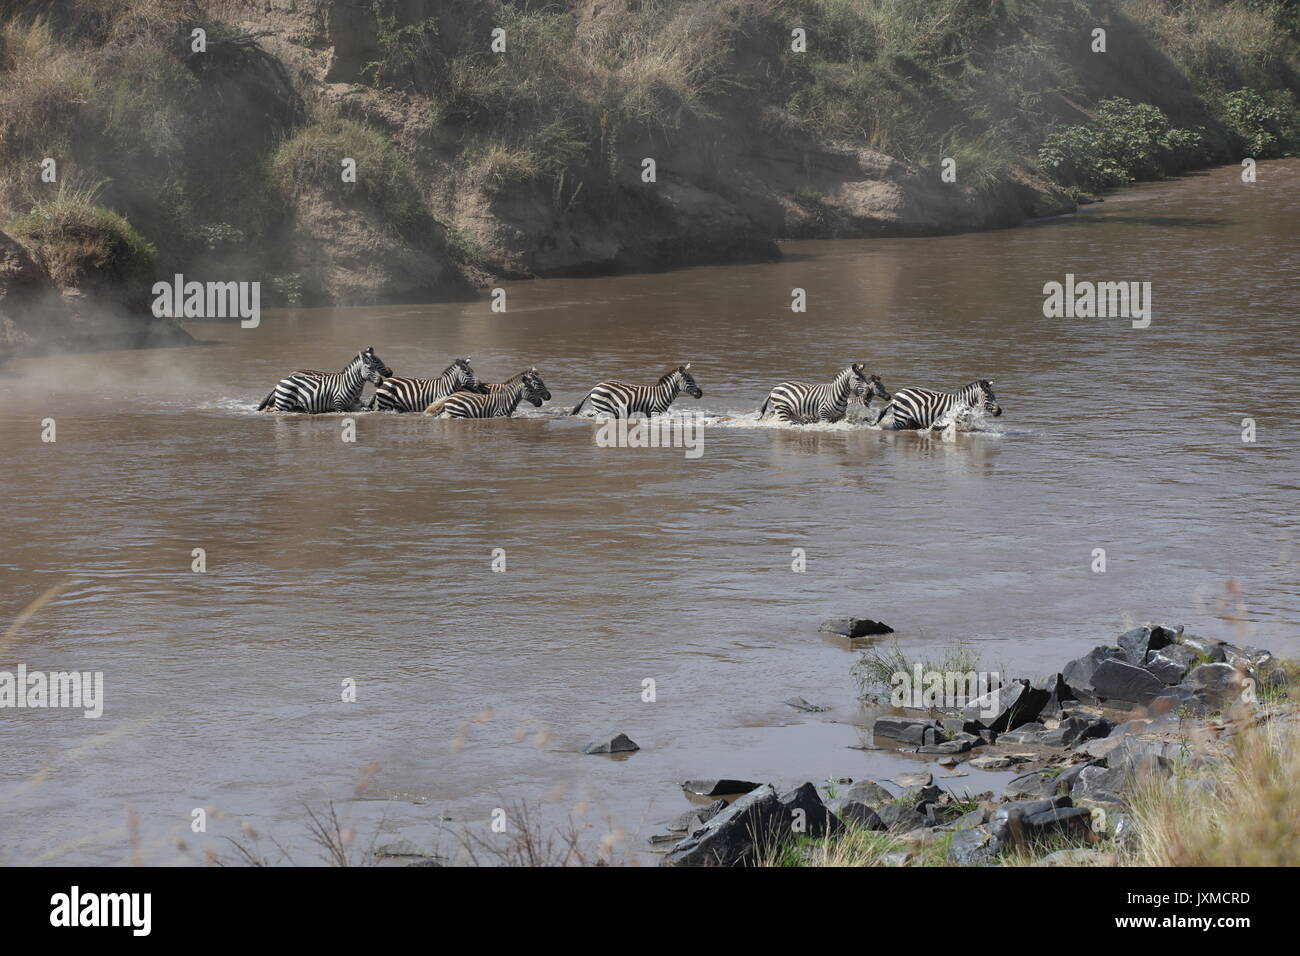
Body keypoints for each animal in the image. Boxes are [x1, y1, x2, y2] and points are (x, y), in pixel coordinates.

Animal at [256, 347, 392, 413]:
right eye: (371, 366)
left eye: (376, 364)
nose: (390, 373)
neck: (350, 383)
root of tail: (284, 378)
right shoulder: (339, 406)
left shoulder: (354, 404)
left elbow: (366, 409)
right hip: (283, 403)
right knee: (270, 409)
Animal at [570, 364, 702, 417]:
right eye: (689, 380)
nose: (701, 393)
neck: (661, 394)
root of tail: (595, 386)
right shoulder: (654, 412)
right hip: (603, 408)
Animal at [757, 364, 890, 424]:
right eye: (857, 378)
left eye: (865, 378)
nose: (867, 393)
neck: (838, 395)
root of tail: (775, 387)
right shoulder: (824, 415)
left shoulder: (839, 417)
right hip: (782, 409)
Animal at [872, 379, 1003, 430]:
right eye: (988, 397)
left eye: (994, 395)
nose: (1000, 411)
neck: (960, 403)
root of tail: (897, 395)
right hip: (901, 417)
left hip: (911, 420)